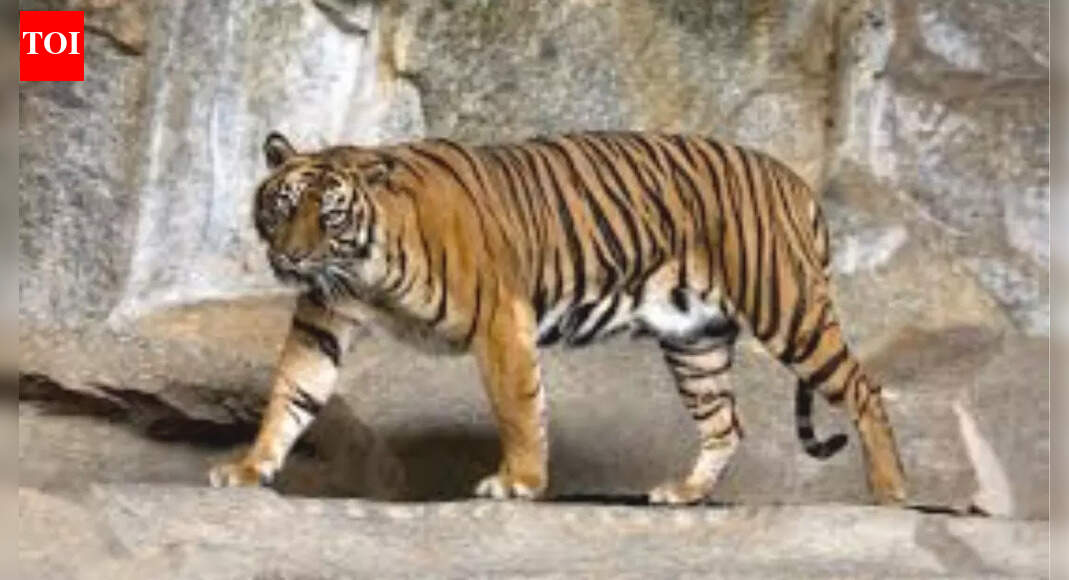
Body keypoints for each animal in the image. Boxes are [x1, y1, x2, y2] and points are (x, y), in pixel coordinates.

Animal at [208, 130, 908, 506]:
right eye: (281, 206)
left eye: (329, 217)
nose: (290, 257)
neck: (363, 268)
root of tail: (793, 179)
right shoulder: (322, 321)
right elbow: (291, 395)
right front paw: (249, 468)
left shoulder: (499, 318)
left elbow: (518, 407)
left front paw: (517, 481)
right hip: (696, 339)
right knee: (725, 424)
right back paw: (685, 494)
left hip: (786, 308)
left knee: (864, 388)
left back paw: (890, 492)